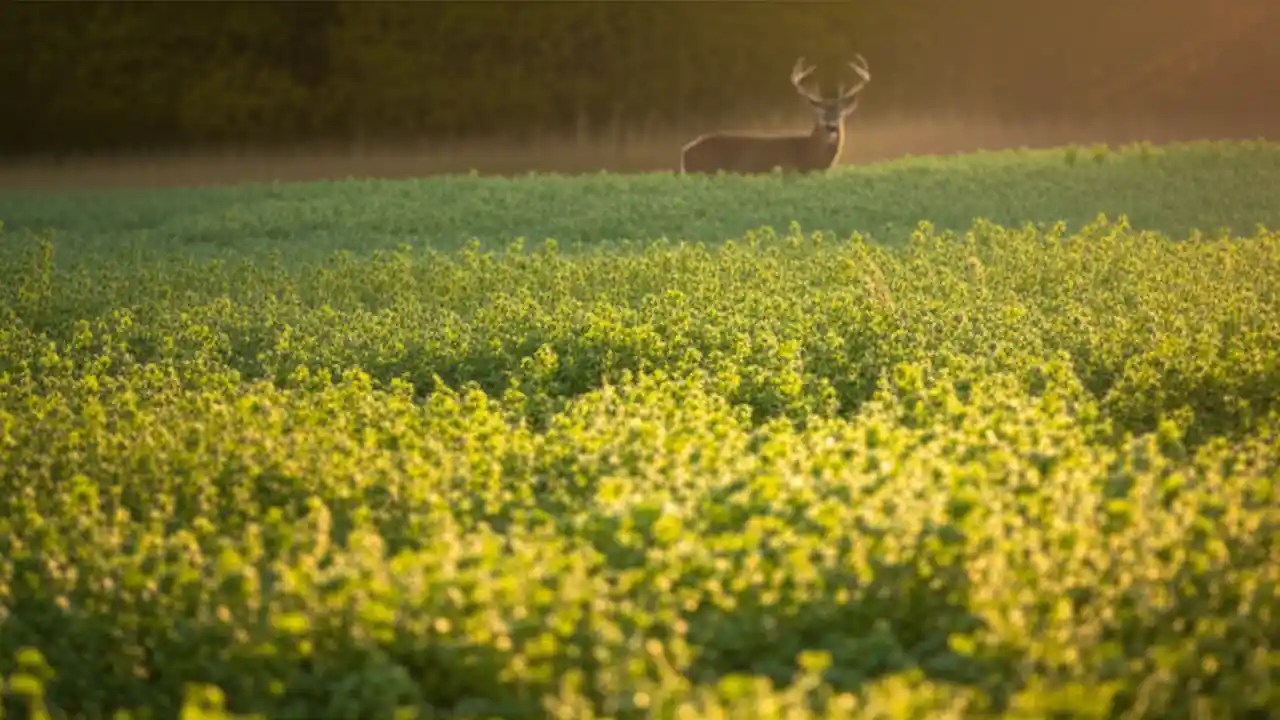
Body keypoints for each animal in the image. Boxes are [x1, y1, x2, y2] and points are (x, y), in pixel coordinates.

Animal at [679, 55, 871, 175]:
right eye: (819, 112)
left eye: (840, 113)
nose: (831, 126)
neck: (807, 153)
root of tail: (685, 151)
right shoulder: (787, 169)